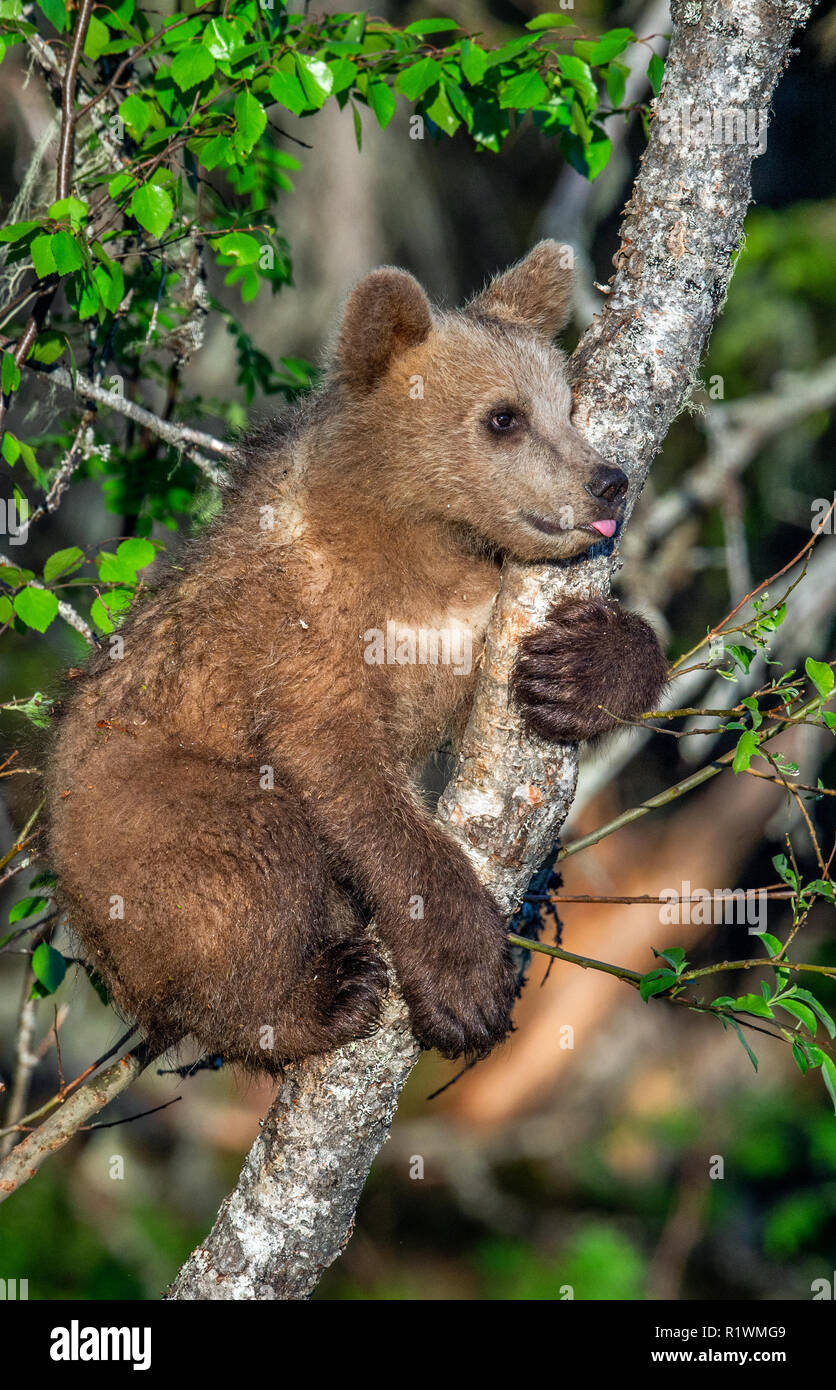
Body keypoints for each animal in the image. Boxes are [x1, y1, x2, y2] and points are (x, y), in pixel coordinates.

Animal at [45, 241, 667, 1071]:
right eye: (503, 417)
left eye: (567, 406)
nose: (608, 481)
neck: (414, 544)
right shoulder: (301, 636)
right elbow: (348, 776)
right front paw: (464, 973)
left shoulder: (467, 619)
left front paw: (578, 668)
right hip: (141, 824)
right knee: (251, 861)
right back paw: (319, 996)